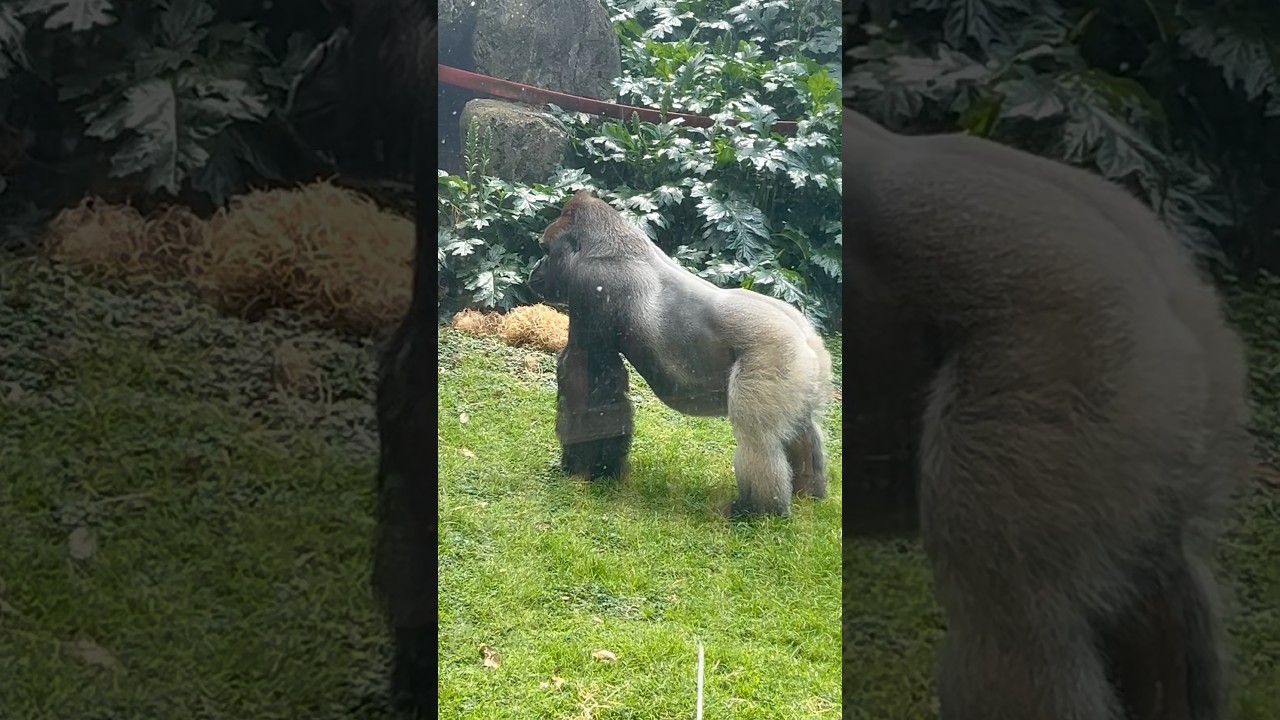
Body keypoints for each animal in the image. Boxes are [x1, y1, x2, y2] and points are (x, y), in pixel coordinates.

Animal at [528, 191, 834, 516]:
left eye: (545, 250)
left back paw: (758, 510)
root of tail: (808, 340)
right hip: (806, 372)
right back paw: (808, 493)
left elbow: (590, 377)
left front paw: (588, 467)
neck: (610, 244)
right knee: (801, 428)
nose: (536, 270)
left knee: (757, 439)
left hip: (774, 354)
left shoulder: (592, 284)